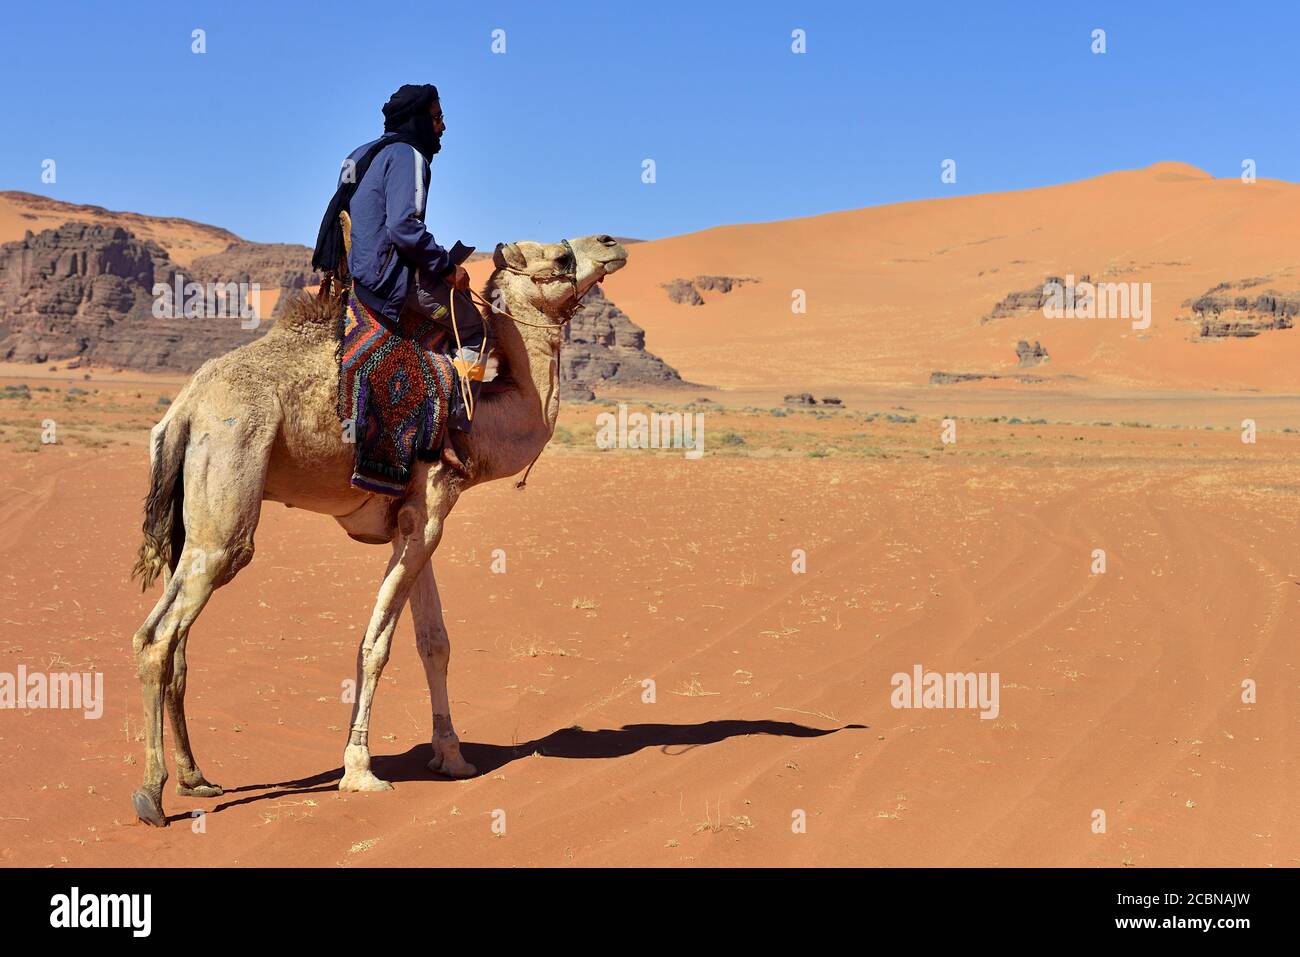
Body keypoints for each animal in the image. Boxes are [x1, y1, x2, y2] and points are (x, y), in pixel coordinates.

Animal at [127, 235, 628, 826]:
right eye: (558, 258)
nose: (611, 243)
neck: (482, 416)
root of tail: (183, 408)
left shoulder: (418, 518)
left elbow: (434, 642)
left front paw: (453, 758)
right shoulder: (428, 512)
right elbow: (376, 645)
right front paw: (360, 770)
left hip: (186, 521)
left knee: (177, 644)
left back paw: (196, 779)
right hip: (228, 492)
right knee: (159, 634)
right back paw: (151, 795)